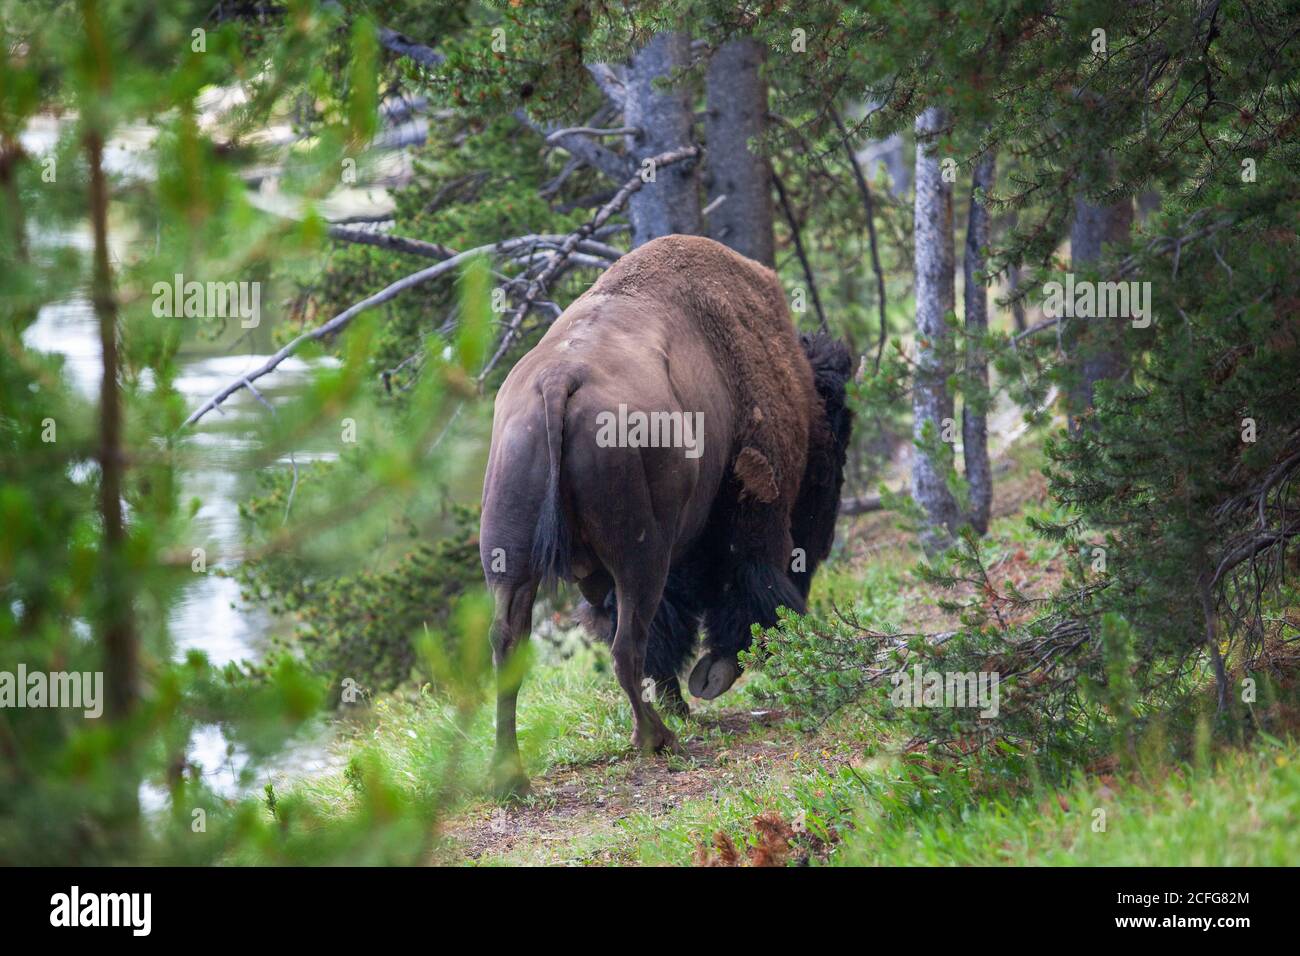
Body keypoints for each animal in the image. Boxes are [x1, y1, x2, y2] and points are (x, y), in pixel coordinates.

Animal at [479, 235, 852, 797]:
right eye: (837, 449)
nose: (824, 539)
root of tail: (558, 379)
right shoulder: (753, 516)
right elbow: (745, 594)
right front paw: (710, 680)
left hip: (512, 558)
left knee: (510, 643)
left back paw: (513, 775)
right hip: (641, 559)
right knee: (626, 645)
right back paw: (657, 738)